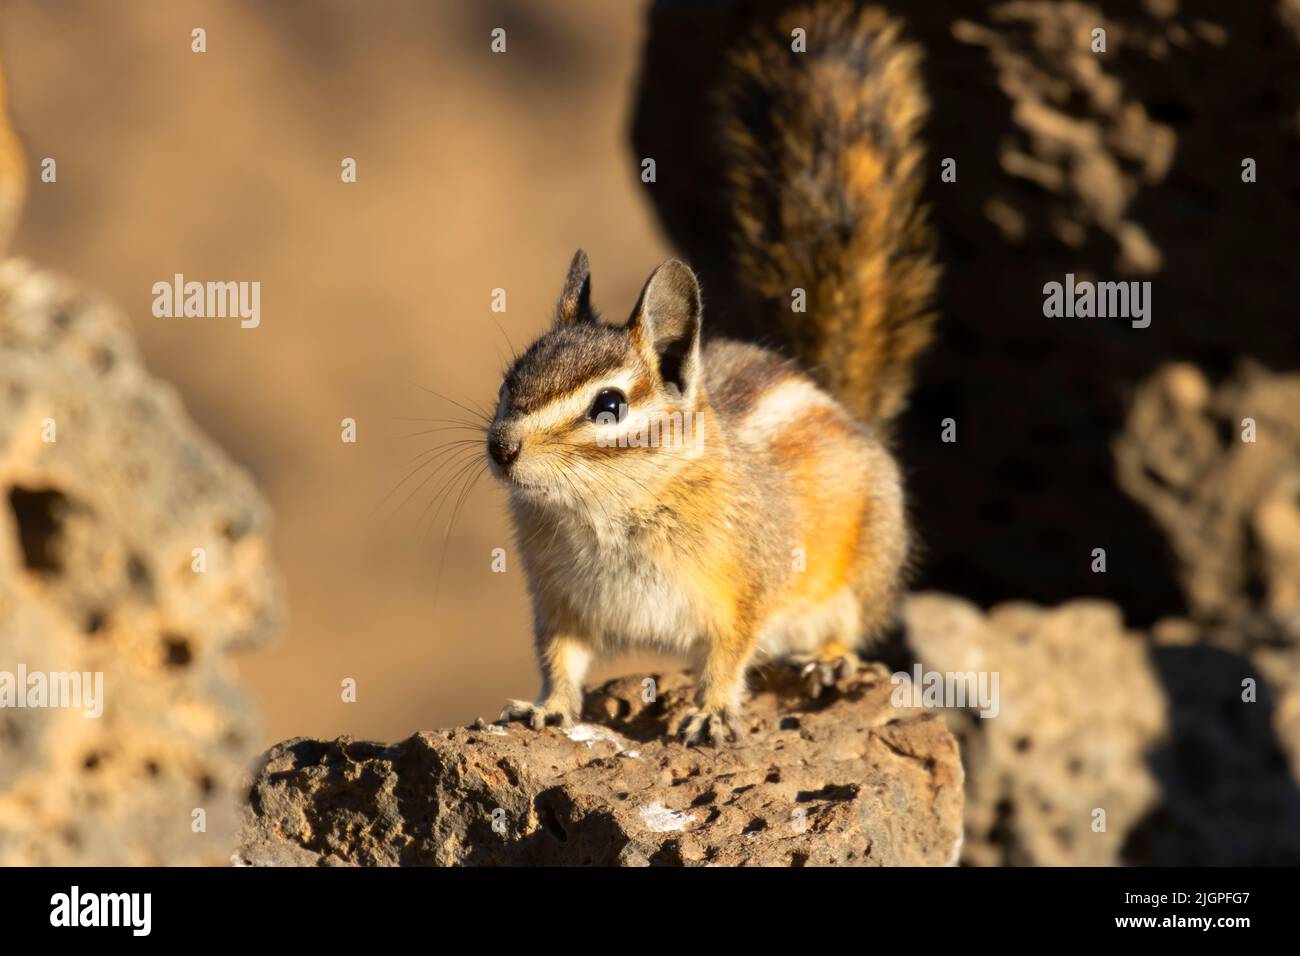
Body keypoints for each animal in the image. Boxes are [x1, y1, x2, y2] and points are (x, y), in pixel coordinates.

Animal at [489, 0, 937, 745]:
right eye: (508, 380)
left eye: (609, 407)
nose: (502, 448)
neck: (607, 510)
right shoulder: (558, 600)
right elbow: (561, 656)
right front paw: (548, 708)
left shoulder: (745, 585)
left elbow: (731, 650)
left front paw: (712, 711)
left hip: (866, 566)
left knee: (849, 627)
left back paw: (829, 661)